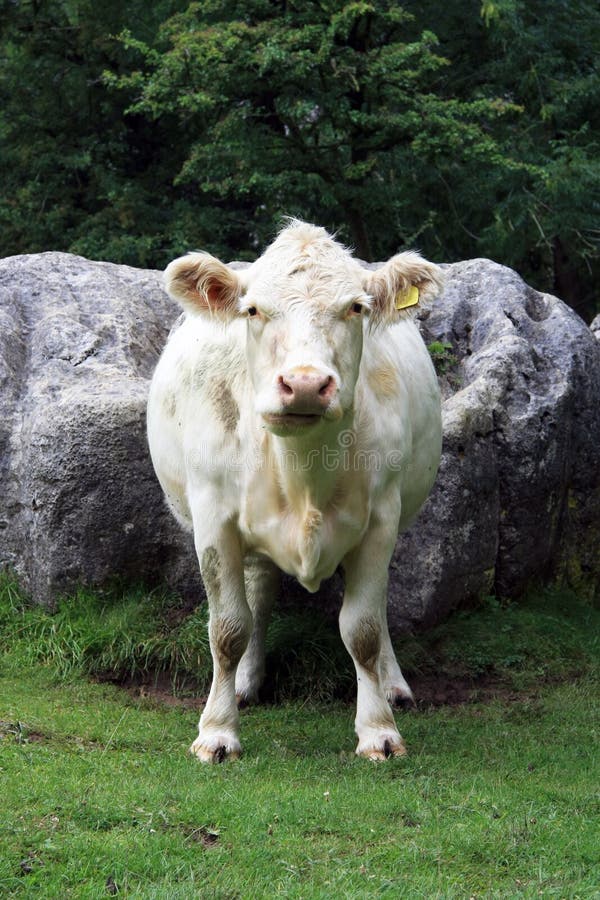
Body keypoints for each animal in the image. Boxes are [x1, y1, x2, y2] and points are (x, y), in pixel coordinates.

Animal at [147, 220, 443, 762]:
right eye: (253, 310)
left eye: (356, 307)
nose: (305, 384)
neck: (304, 469)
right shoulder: (213, 520)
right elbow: (227, 629)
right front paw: (217, 732)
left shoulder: (381, 521)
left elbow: (364, 629)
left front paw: (379, 731)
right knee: (258, 595)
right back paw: (245, 682)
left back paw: (392, 684)